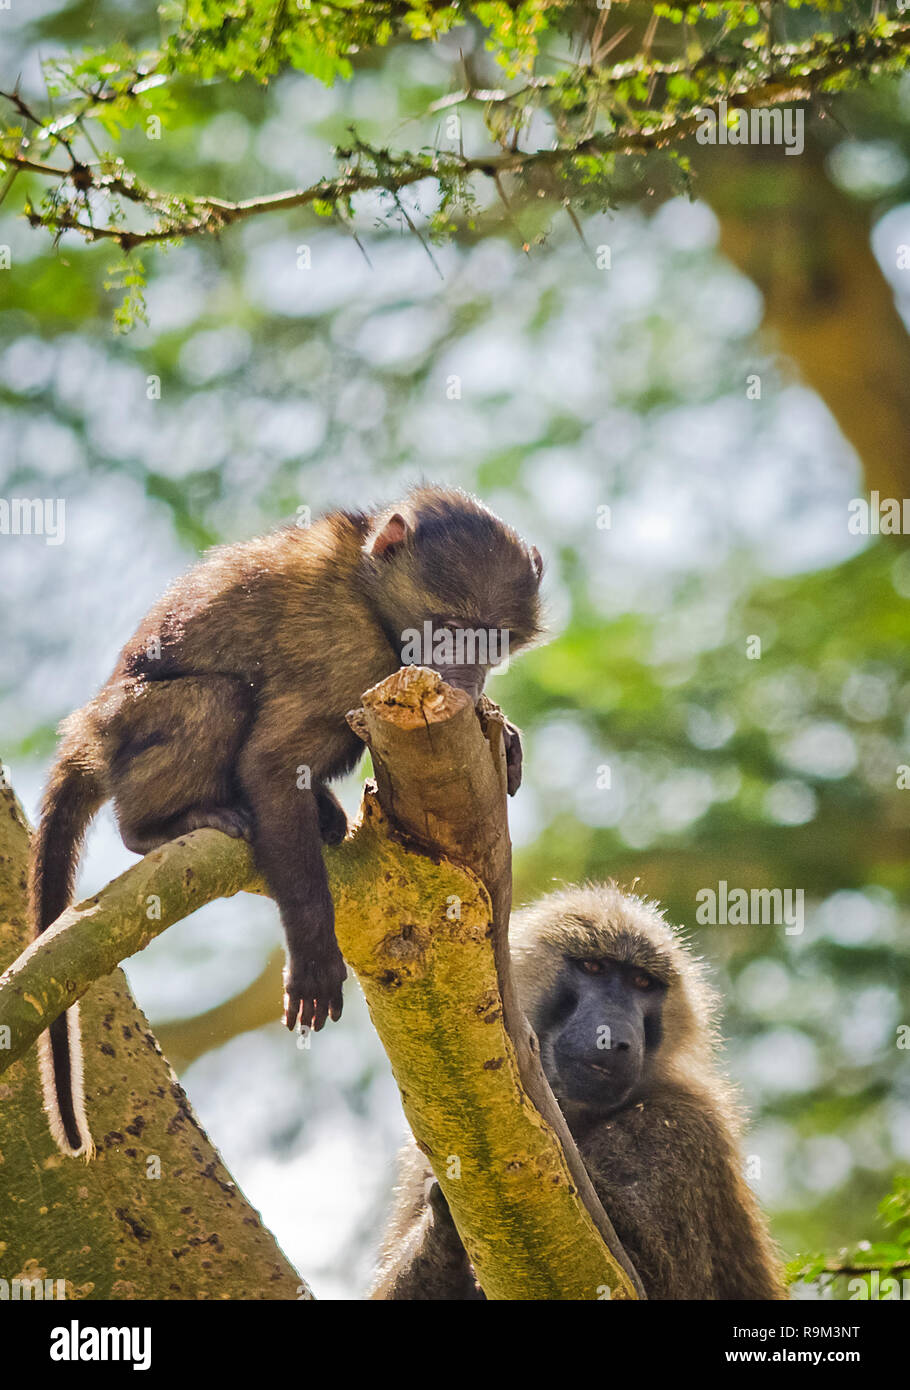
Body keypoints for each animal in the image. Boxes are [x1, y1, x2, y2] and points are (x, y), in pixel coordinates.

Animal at [29, 485, 543, 1157]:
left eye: (491, 643)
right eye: (450, 629)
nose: (462, 680)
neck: (367, 583)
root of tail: (88, 732)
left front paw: (499, 726)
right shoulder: (345, 647)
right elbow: (272, 765)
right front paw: (314, 951)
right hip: (131, 730)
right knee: (219, 699)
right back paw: (155, 828)